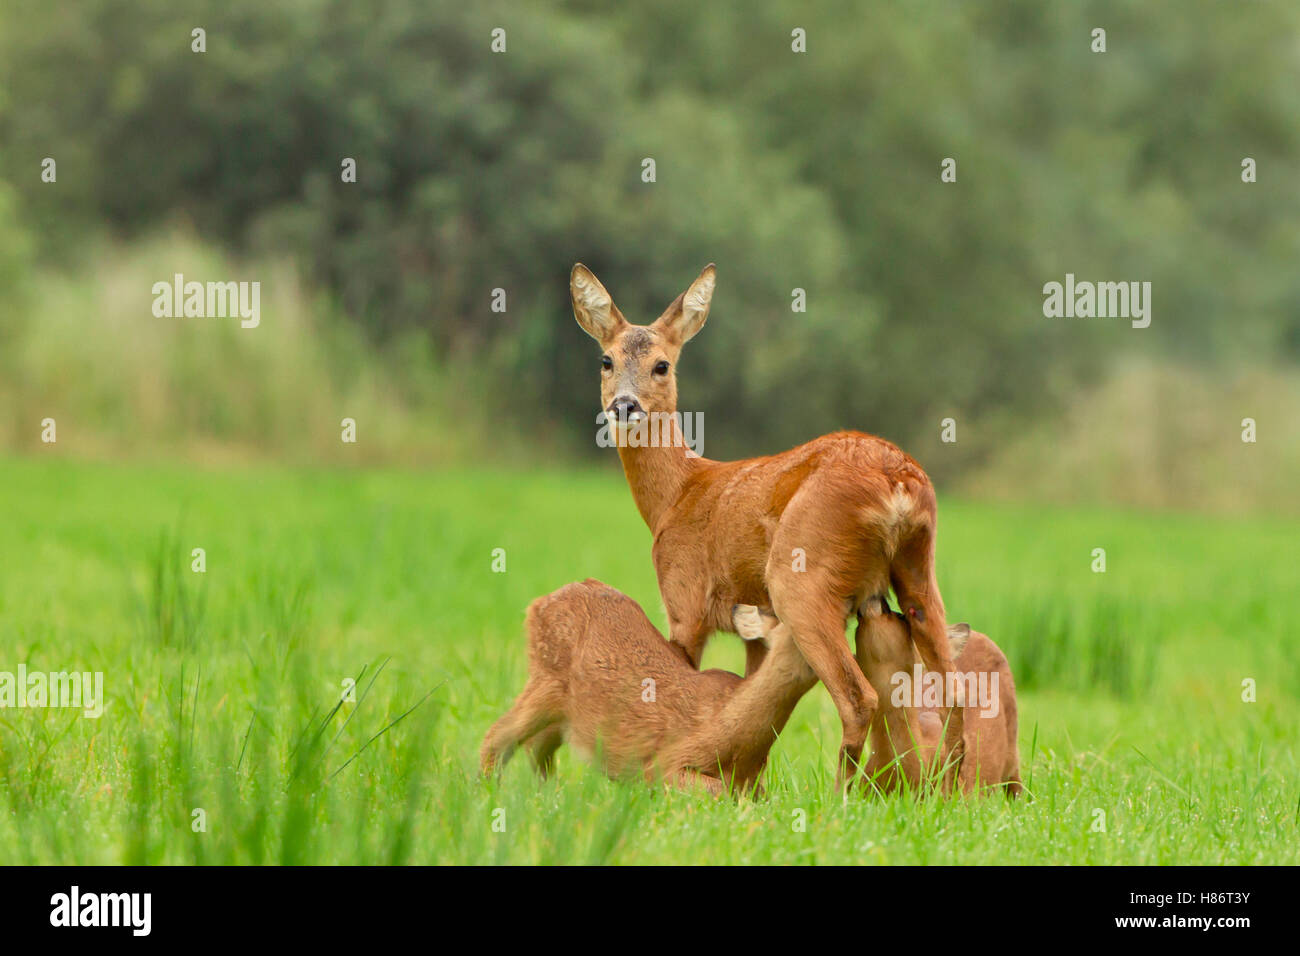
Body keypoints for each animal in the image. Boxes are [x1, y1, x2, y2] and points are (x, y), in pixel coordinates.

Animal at [480, 580, 816, 795]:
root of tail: (537, 604)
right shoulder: (663, 764)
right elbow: (715, 790)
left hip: (564, 711)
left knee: (536, 746)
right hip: (547, 679)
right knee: (498, 735)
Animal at [569, 262, 961, 786]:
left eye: (662, 365)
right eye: (605, 361)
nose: (624, 405)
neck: (678, 494)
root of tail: (896, 480)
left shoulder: (685, 600)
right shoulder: (749, 616)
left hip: (799, 574)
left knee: (859, 699)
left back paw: (844, 795)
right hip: (919, 565)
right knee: (955, 687)